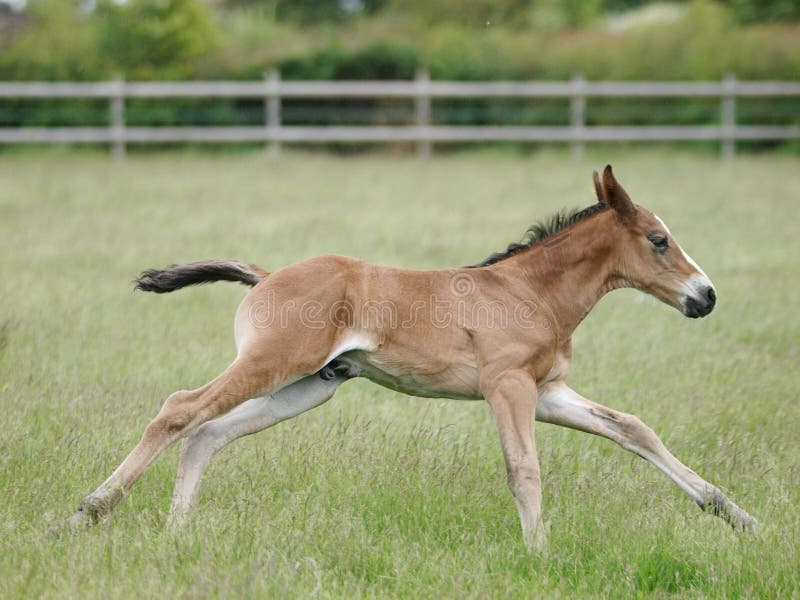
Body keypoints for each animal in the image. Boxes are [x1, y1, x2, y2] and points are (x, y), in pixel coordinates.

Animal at [57, 166, 757, 549]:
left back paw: (176, 533)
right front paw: (540, 554)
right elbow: (525, 471)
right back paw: (89, 511)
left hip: (309, 385)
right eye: (659, 240)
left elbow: (635, 429)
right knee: (180, 410)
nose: (706, 296)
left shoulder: (547, 392)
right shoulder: (508, 387)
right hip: (272, 365)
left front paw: (736, 515)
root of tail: (268, 274)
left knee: (207, 432)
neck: (529, 290)